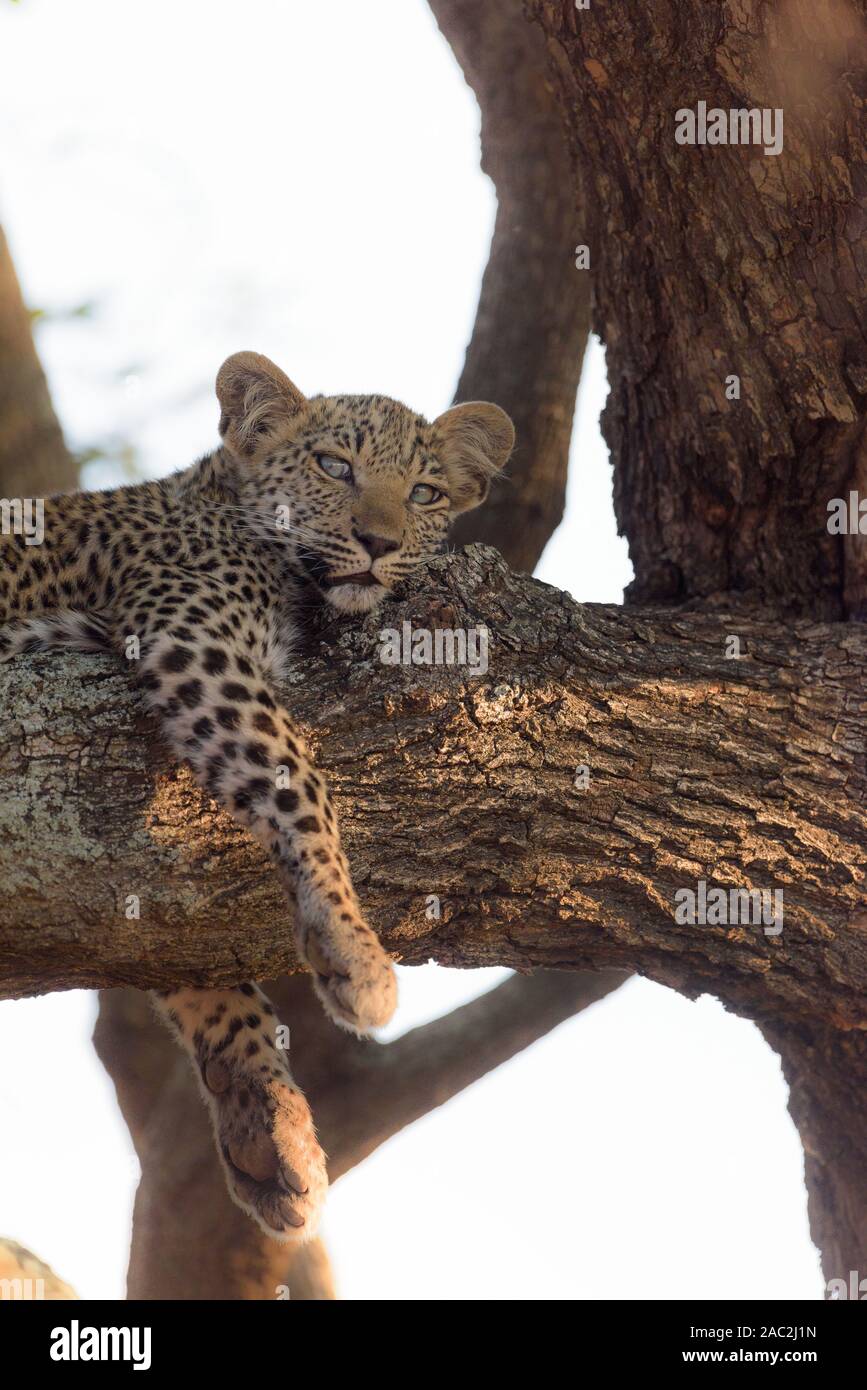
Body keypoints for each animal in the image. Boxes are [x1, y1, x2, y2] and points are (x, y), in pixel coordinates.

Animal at [0, 351, 514, 1242]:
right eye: (333, 467)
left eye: (424, 493)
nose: (378, 544)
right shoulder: (194, 641)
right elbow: (297, 780)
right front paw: (352, 949)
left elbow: (177, 962)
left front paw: (265, 1124)